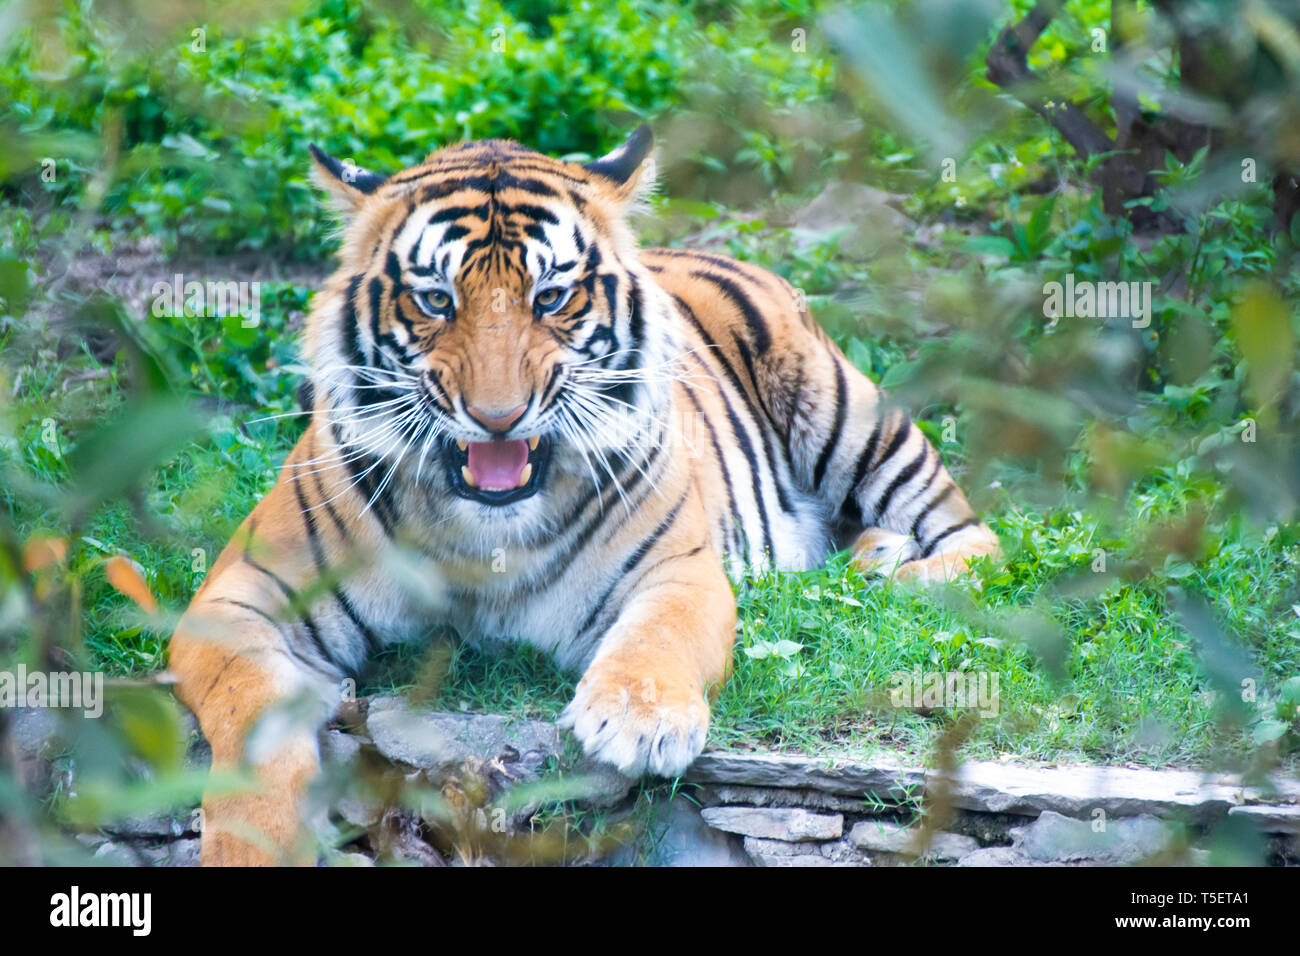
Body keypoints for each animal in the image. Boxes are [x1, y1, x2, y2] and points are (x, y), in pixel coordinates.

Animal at [169, 125, 1000, 866]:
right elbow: (250, 714)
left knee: (974, 535)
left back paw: (900, 570)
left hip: (847, 411)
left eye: (551, 296)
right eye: (436, 299)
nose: (497, 416)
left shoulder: (679, 569)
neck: (481, 534)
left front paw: (639, 723)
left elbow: (660, 635)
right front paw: (247, 845)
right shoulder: (239, 592)